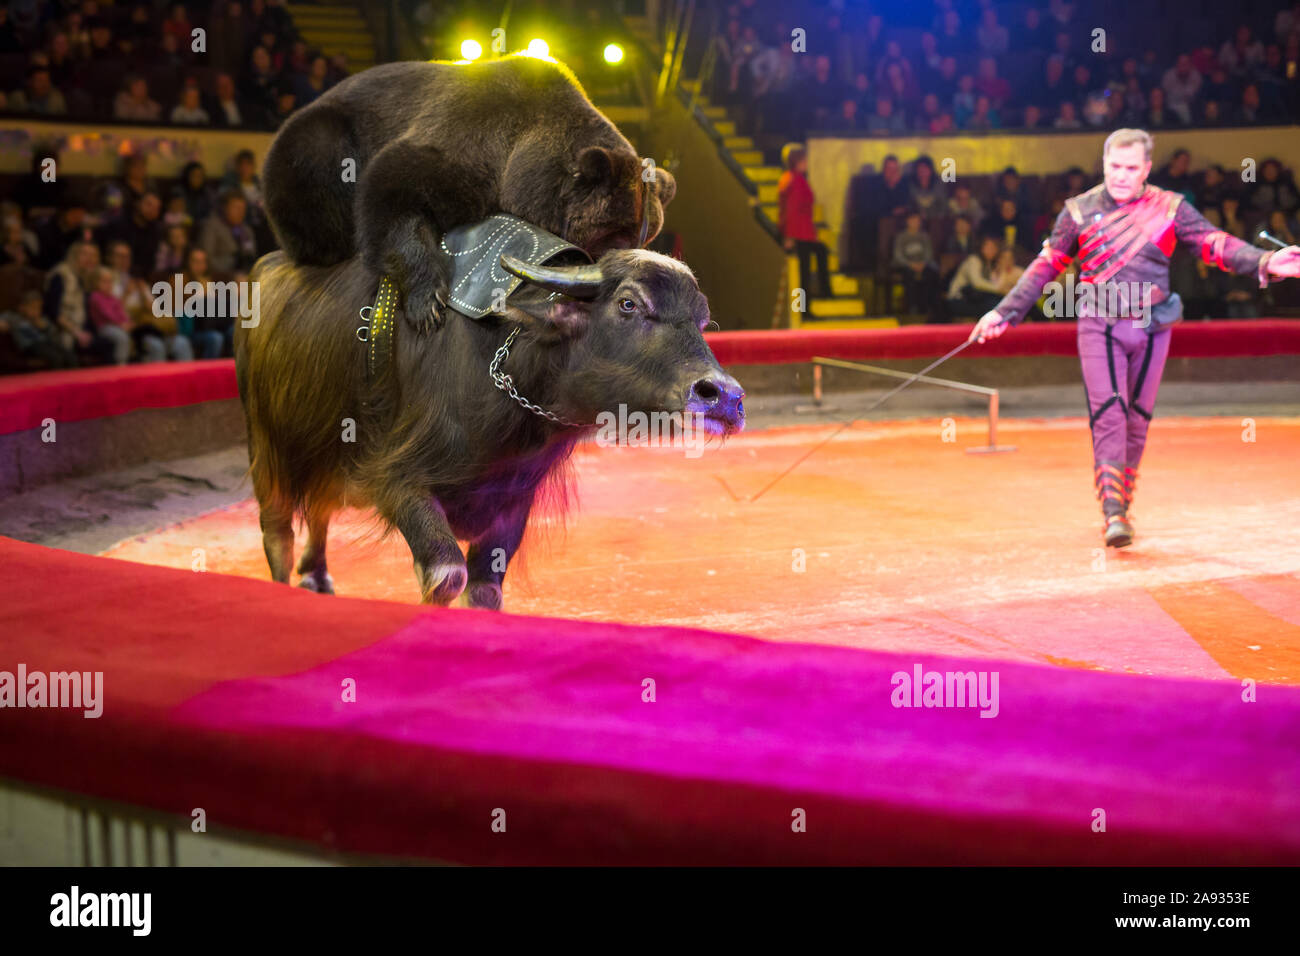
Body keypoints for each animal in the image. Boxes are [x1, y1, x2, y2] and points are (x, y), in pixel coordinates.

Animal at [261, 54, 676, 333]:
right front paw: (428, 301)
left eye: (646, 234)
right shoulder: (467, 138)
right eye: (614, 232)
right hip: (314, 135)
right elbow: (393, 186)